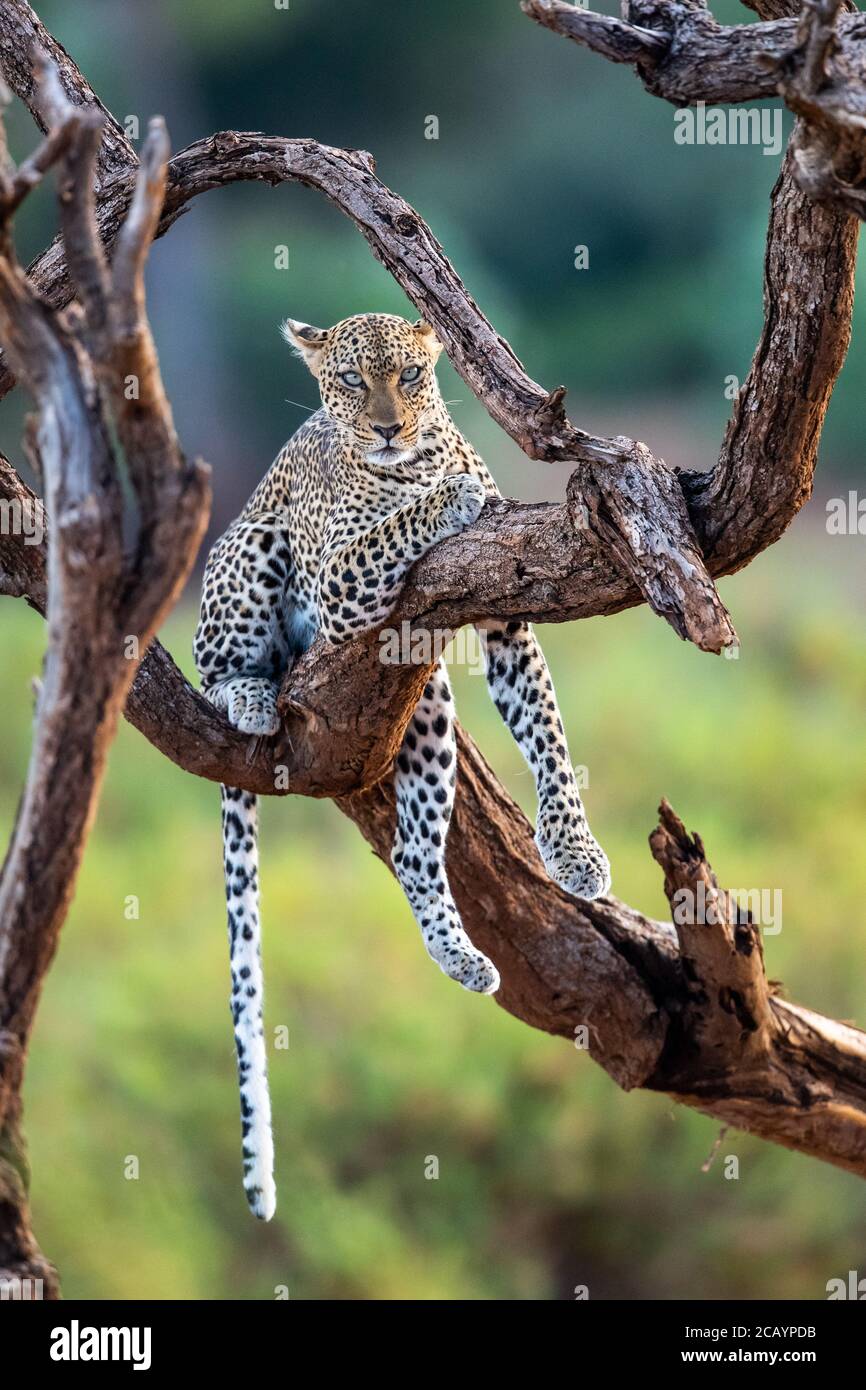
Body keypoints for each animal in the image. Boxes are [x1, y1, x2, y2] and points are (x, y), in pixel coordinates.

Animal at [194, 311, 611, 1221]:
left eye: (413, 376)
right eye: (353, 380)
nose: (389, 429)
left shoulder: (505, 615)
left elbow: (549, 733)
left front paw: (574, 852)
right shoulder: (341, 576)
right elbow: (397, 526)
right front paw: (448, 497)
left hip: (426, 710)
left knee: (418, 855)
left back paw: (461, 956)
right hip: (250, 552)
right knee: (220, 668)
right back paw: (250, 697)